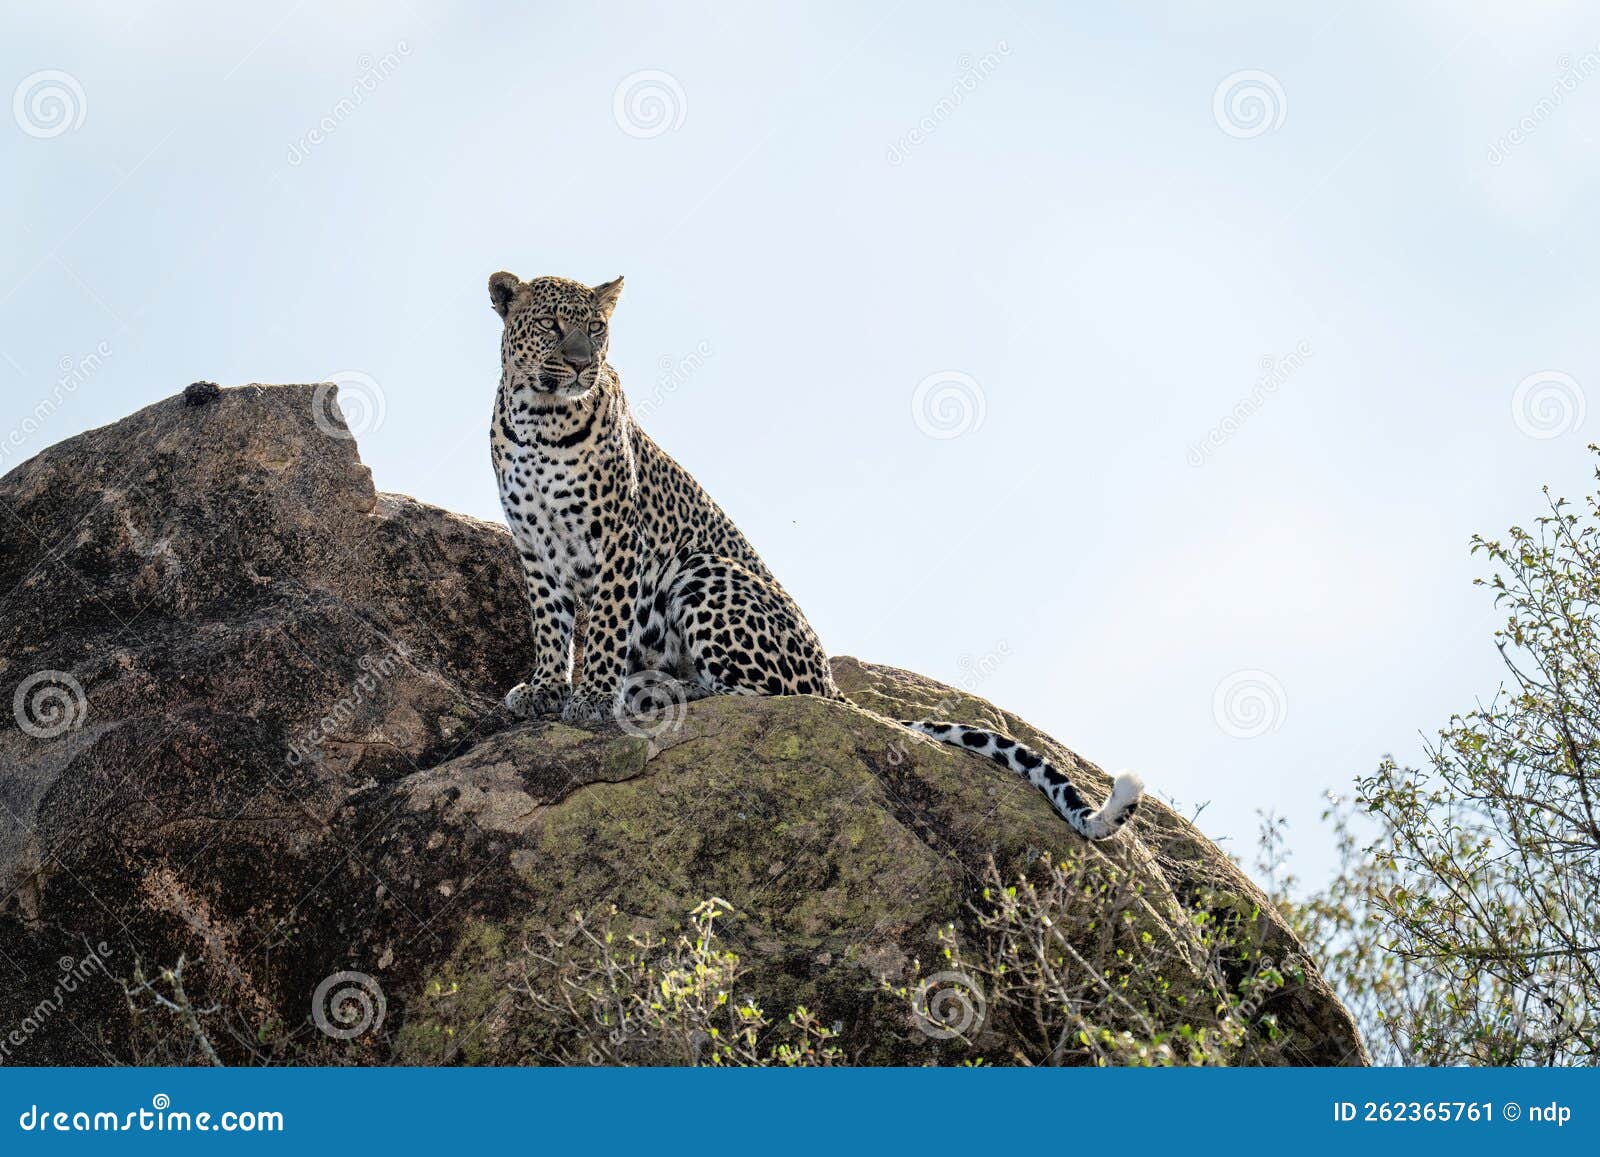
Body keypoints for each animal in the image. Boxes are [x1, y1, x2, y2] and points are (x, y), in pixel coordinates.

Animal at [488, 270, 1143, 839]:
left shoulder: (620, 539)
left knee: (769, 698)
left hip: (704, 571)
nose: (582, 363)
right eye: (551, 324)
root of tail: (829, 677)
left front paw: (593, 697)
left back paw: (660, 690)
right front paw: (544, 688)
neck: (541, 421)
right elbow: (550, 625)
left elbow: (603, 626)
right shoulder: (534, 544)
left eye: (596, 327)